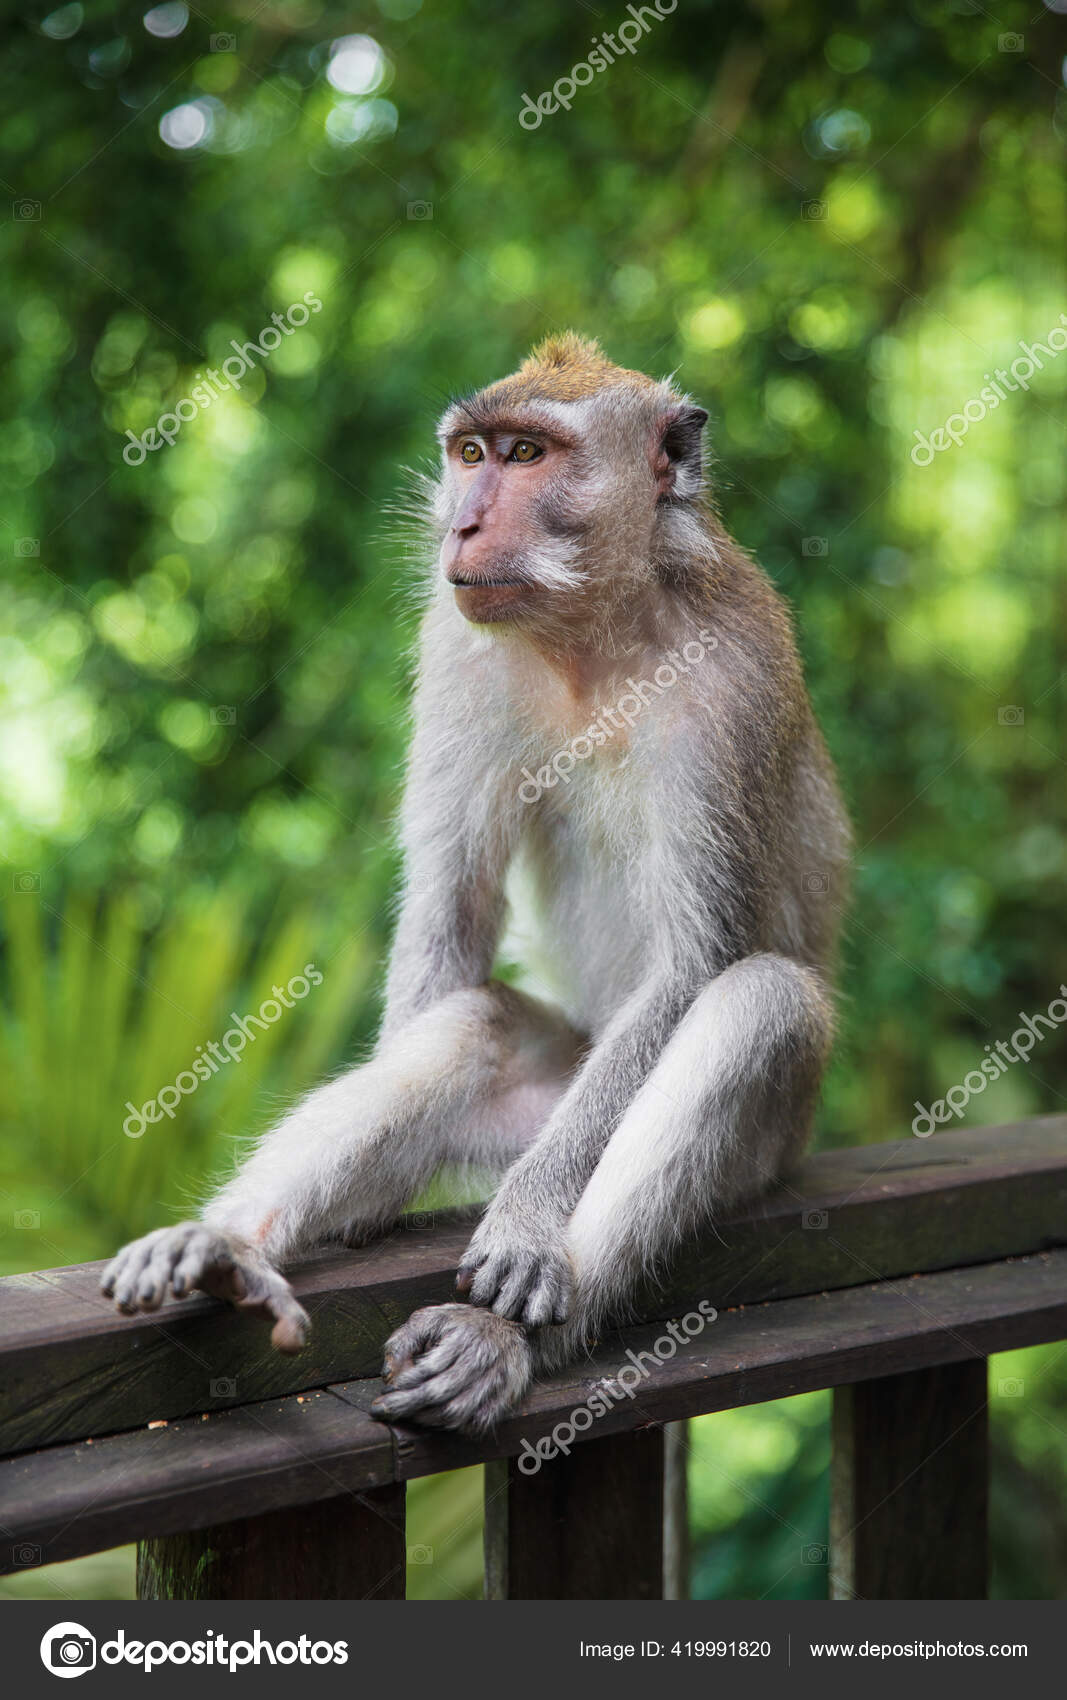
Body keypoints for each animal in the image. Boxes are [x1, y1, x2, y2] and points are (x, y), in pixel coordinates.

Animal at [102, 333, 850, 1432]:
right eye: (470, 453)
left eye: (528, 454)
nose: (461, 519)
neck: (597, 632)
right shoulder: (457, 651)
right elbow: (450, 907)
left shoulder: (733, 687)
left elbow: (692, 965)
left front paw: (532, 1230)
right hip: (526, 1107)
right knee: (471, 1025)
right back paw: (229, 1245)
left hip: (760, 1146)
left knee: (760, 1005)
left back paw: (509, 1331)